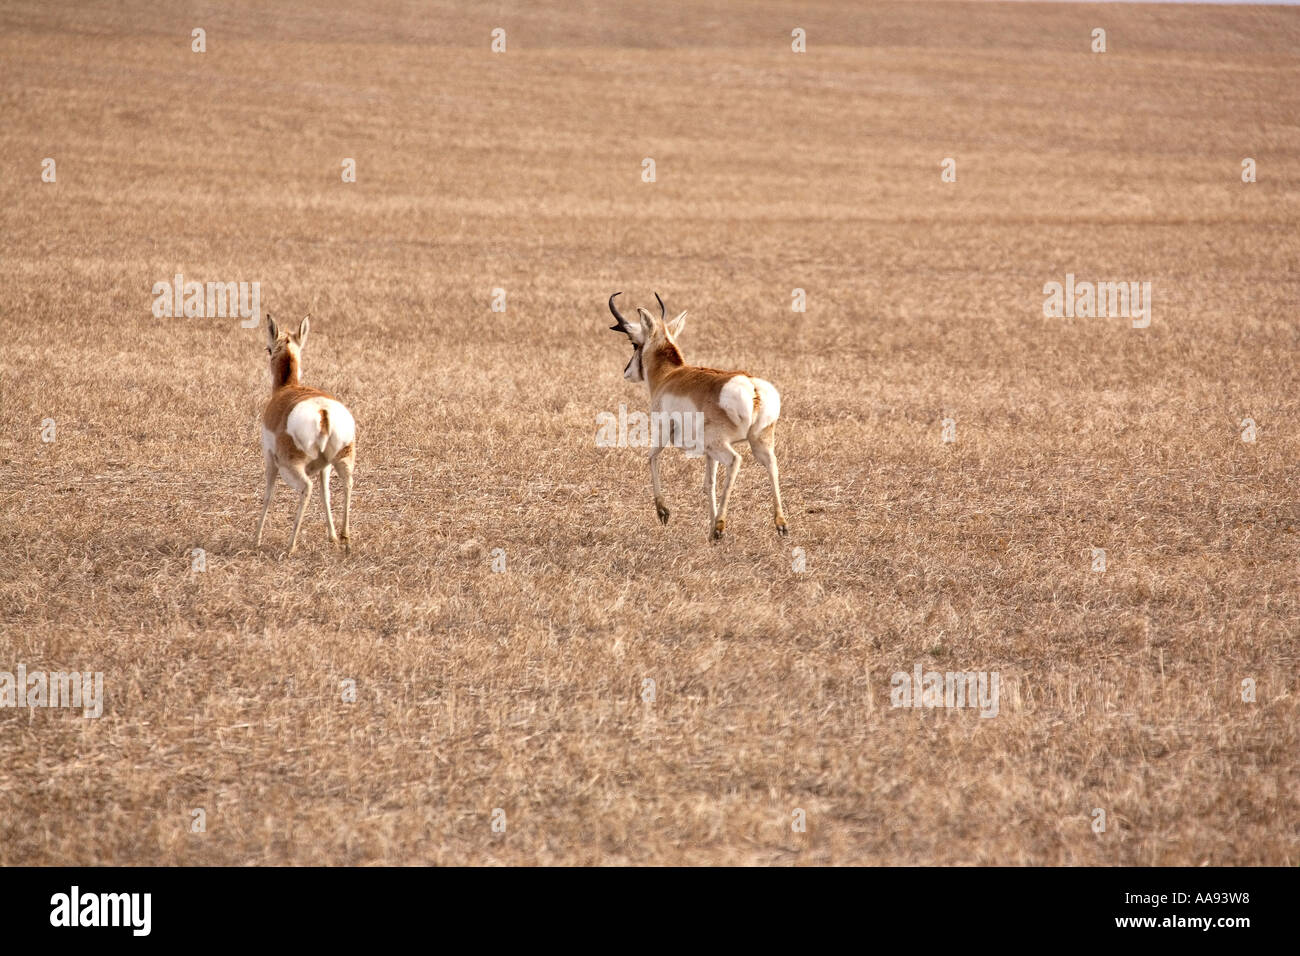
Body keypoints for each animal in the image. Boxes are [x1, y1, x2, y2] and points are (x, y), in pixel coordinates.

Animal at [253, 314, 356, 555]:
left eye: (268, 348)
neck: (287, 388)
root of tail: (322, 411)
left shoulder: (270, 460)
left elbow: (268, 494)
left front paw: (256, 538)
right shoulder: (324, 467)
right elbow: (326, 494)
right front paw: (331, 537)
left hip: (291, 467)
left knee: (306, 488)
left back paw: (290, 545)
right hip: (342, 460)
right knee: (347, 484)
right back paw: (345, 538)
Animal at [607, 292, 788, 541]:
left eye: (635, 344)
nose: (626, 372)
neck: (670, 376)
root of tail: (752, 387)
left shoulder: (663, 432)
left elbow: (651, 457)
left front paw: (664, 512)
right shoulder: (708, 455)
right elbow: (708, 484)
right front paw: (709, 530)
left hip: (719, 444)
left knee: (735, 460)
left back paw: (721, 526)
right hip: (759, 442)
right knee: (772, 464)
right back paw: (780, 525)